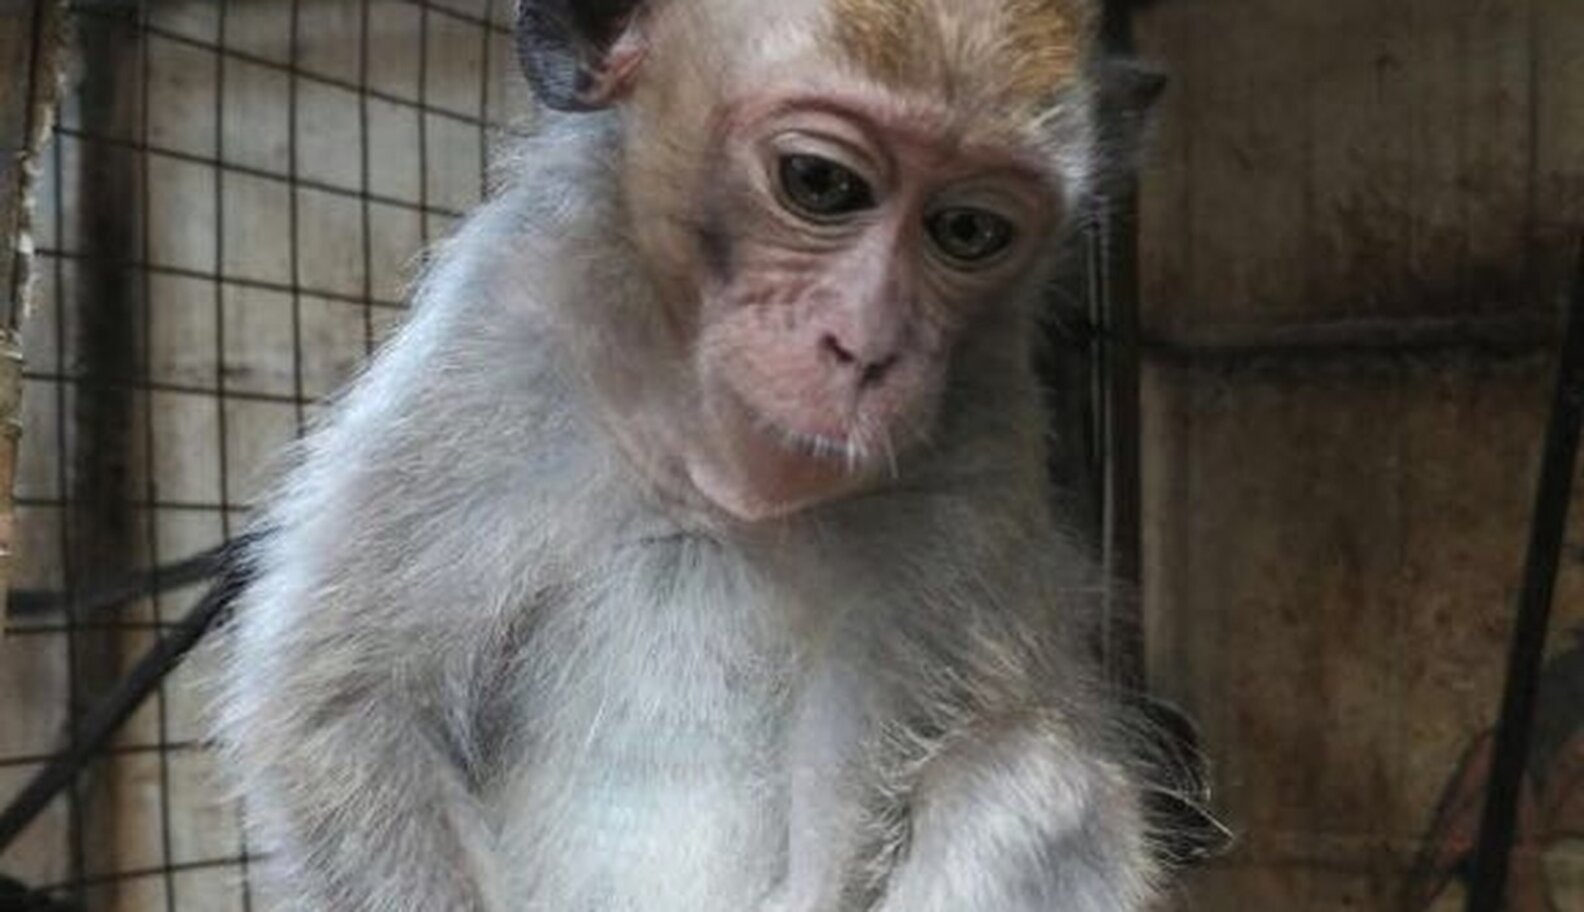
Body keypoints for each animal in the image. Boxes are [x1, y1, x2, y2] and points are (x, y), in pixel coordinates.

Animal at [212, 1, 1190, 910]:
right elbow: (348, 703)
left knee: (1032, 779)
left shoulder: (976, 444)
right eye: (820, 182)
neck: (716, 469)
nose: (869, 348)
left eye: (969, 231)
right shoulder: (501, 336)